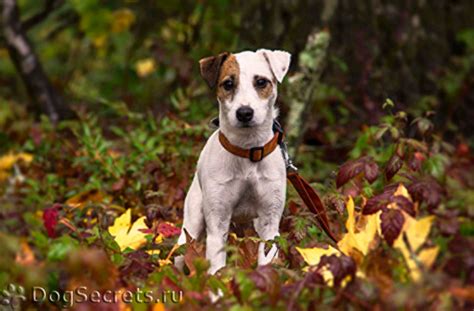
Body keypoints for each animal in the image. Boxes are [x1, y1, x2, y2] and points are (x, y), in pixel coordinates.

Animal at [176, 49, 290, 276]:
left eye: (261, 82)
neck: (248, 152)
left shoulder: (270, 221)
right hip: (191, 222)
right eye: (228, 84)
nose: (244, 112)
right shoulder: (217, 222)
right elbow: (216, 264)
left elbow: (268, 256)